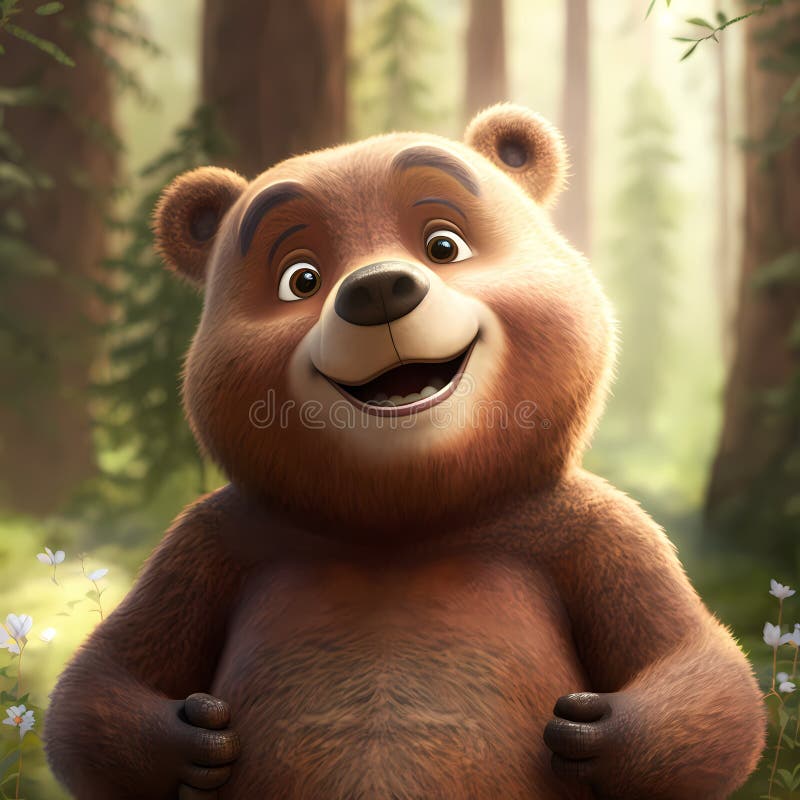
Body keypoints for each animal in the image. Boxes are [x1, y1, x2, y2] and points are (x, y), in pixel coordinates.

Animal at [45, 104, 765, 800]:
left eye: (444, 244)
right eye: (300, 280)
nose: (377, 289)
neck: (404, 520)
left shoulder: (588, 528)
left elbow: (704, 670)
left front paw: (595, 729)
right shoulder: (215, 538)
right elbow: (97, 684)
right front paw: (193, 735)